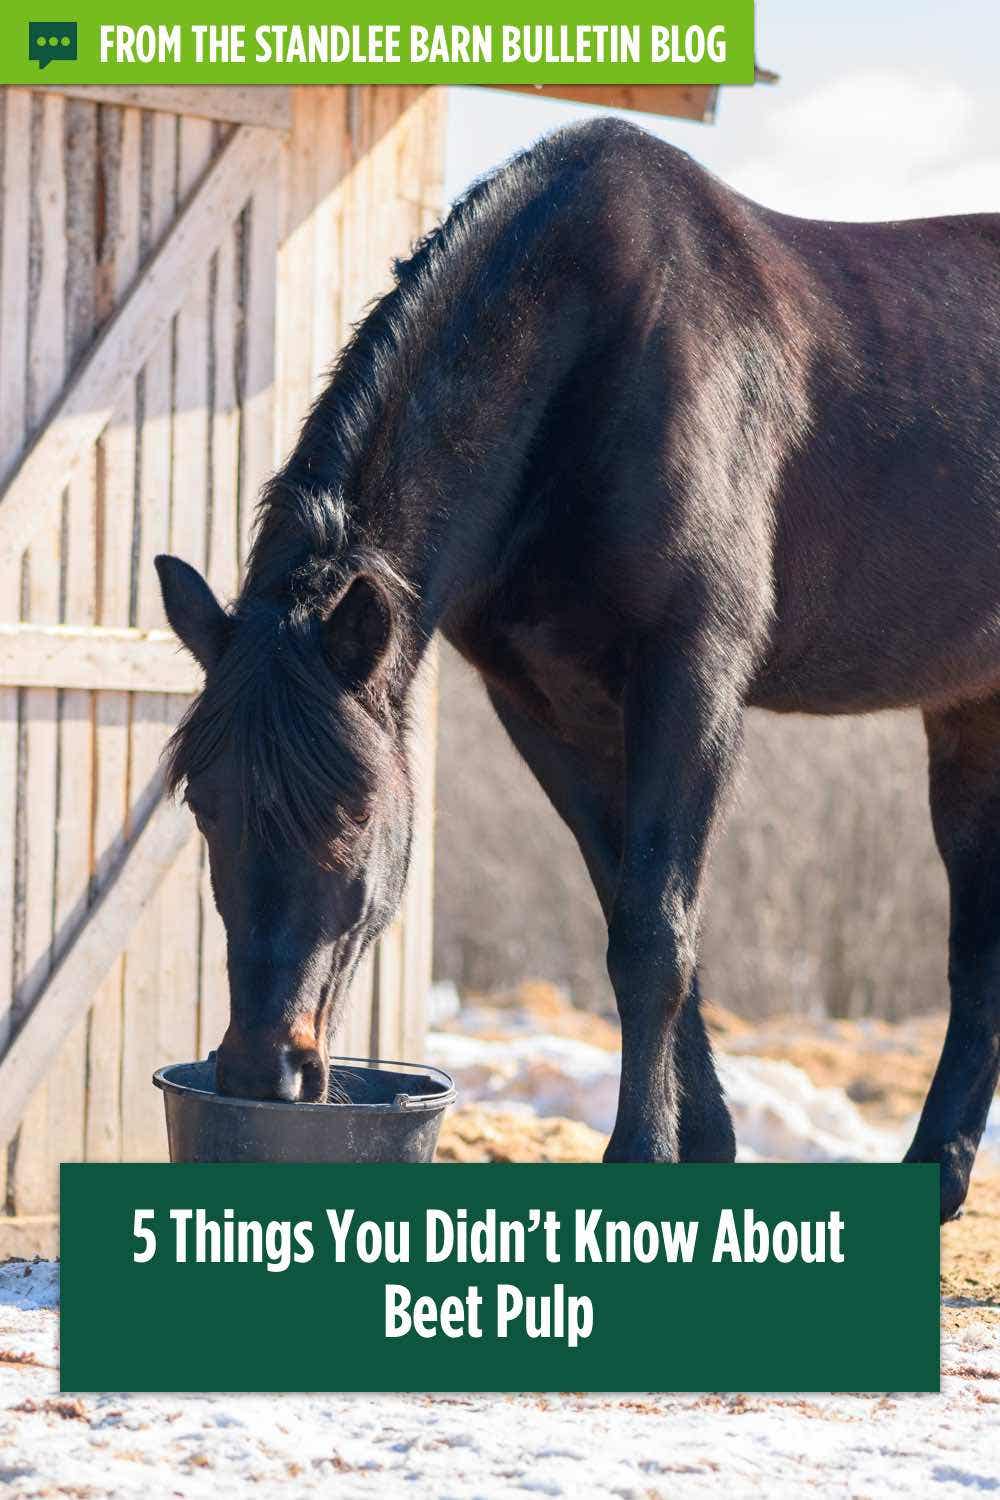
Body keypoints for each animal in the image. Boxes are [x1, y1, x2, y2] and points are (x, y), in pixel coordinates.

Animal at [156, 117, 1000, 1221]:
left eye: (356, 811)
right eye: (203, 806)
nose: (264, 1073)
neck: (597, 354)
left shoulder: (691, 680)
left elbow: (654, 935)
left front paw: (638, 1157)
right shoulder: (550, 710)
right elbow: (636, 915)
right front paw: (702, 1149)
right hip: (971, 712)